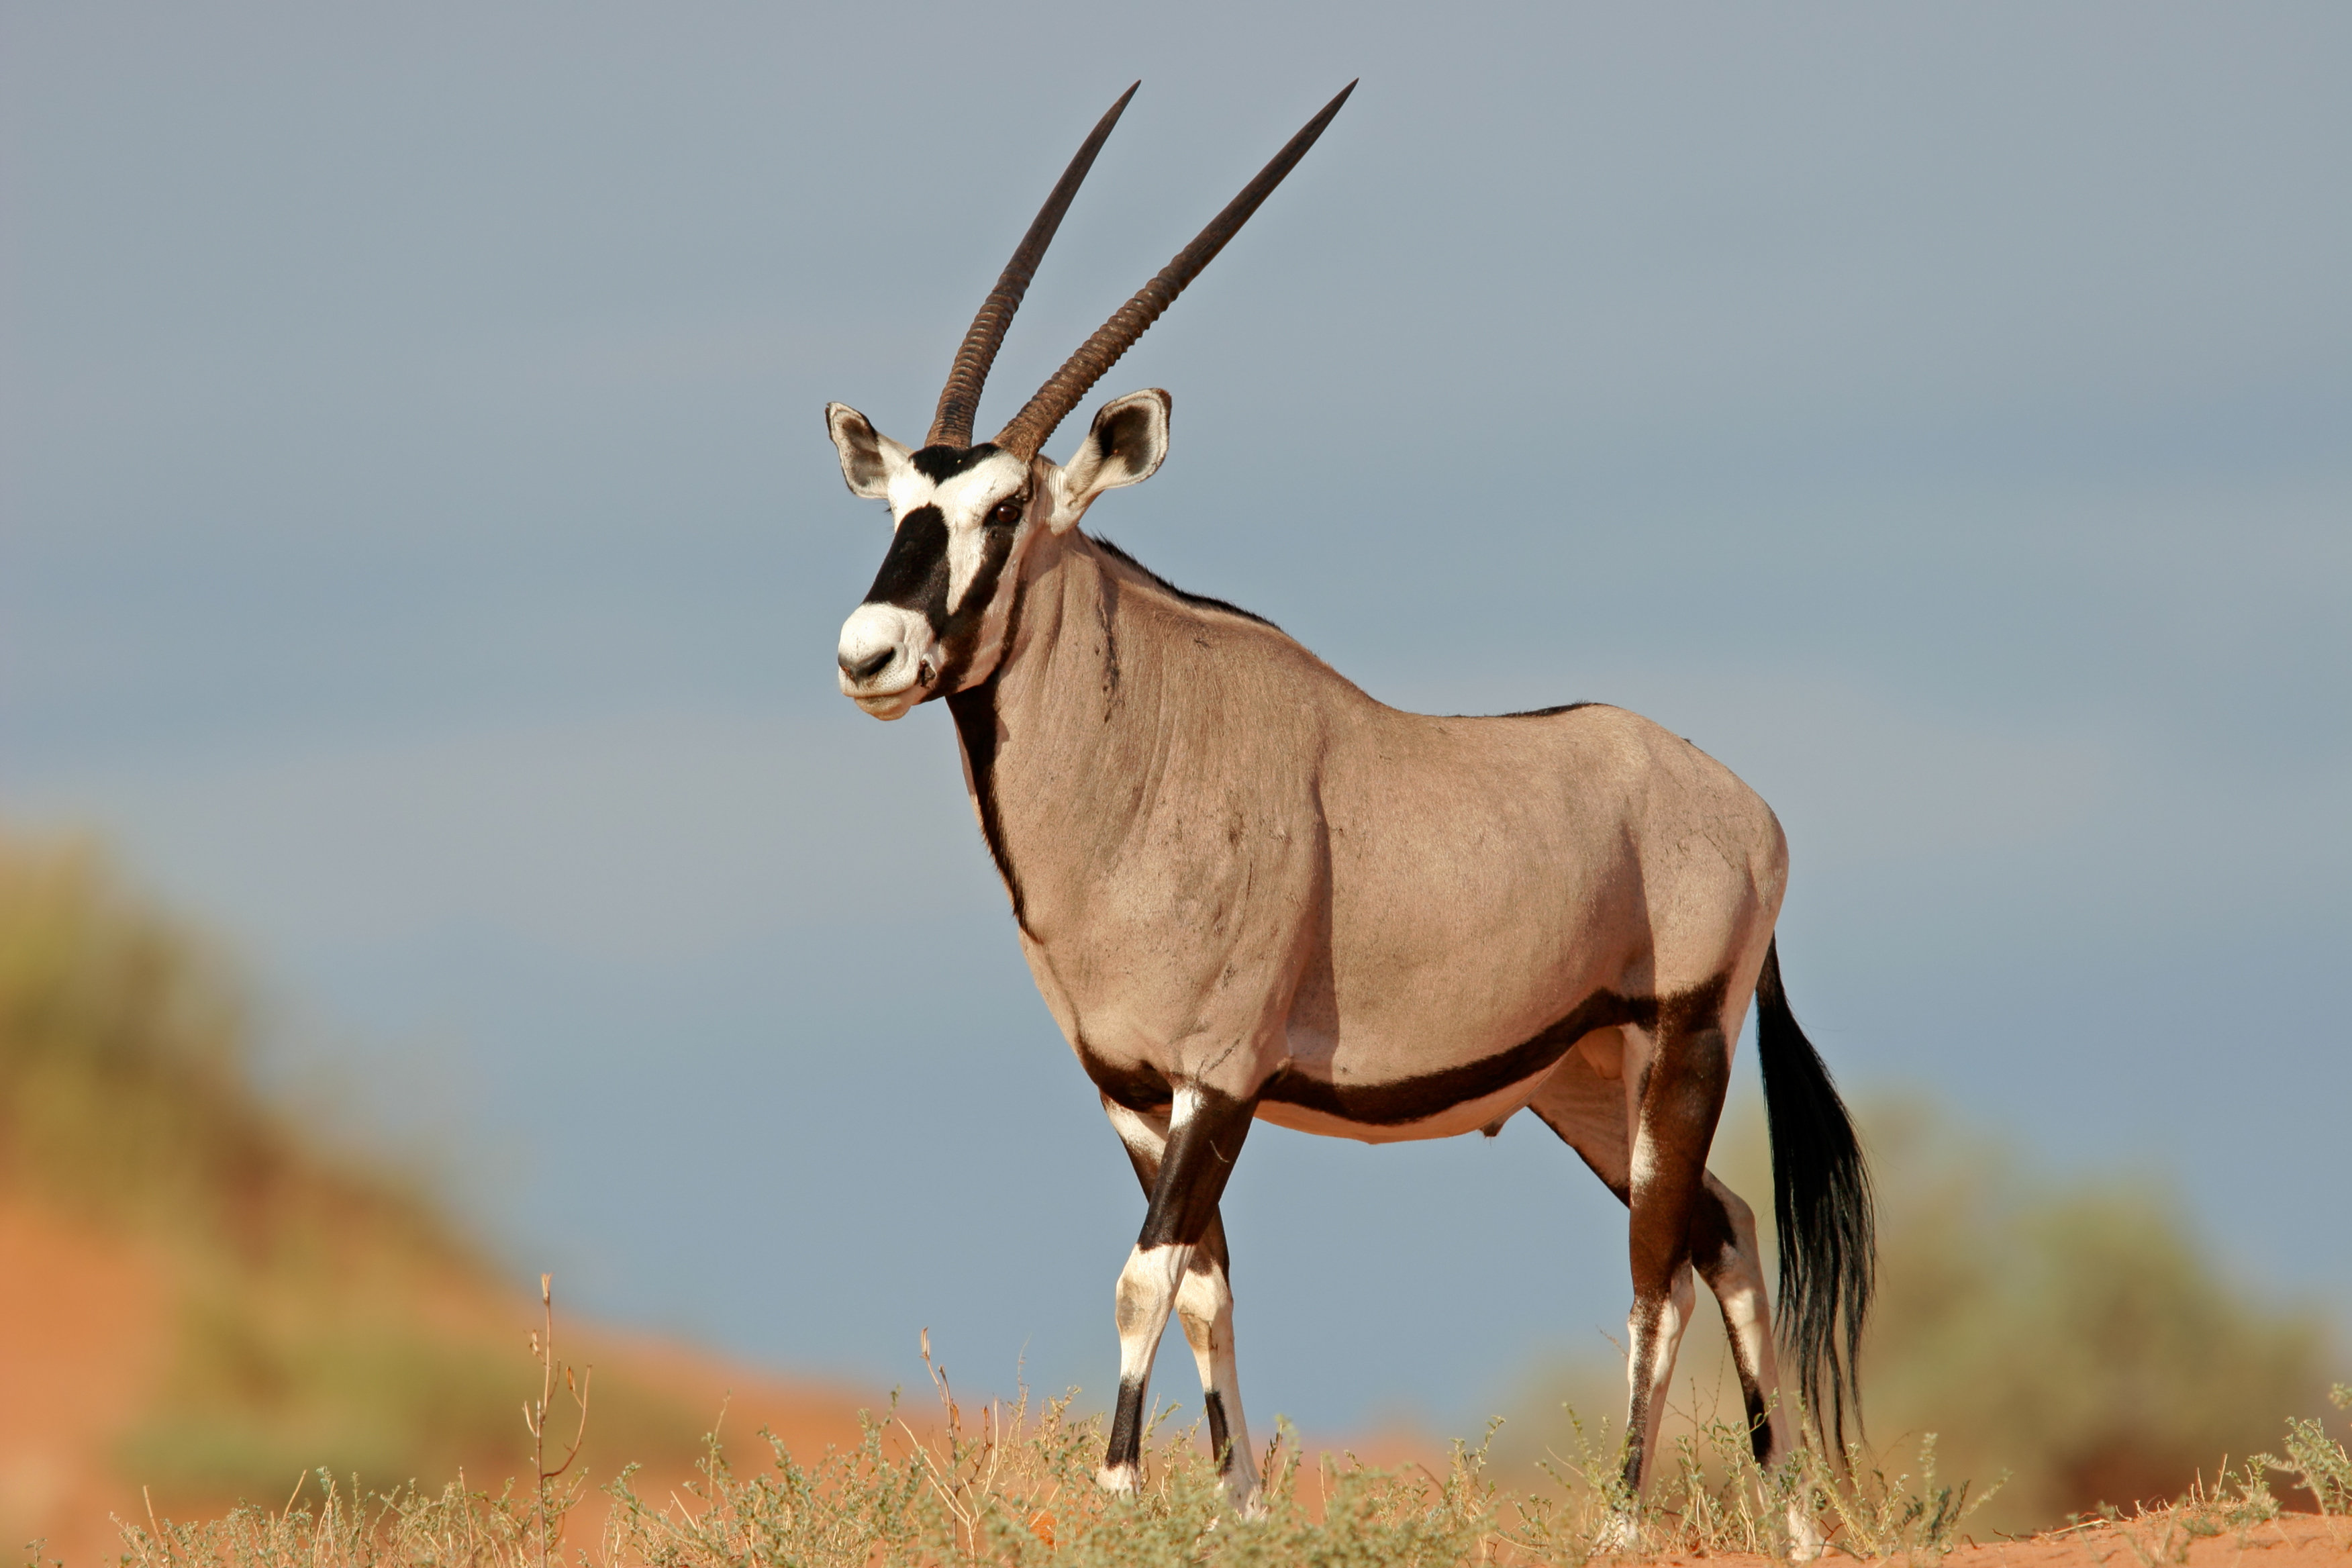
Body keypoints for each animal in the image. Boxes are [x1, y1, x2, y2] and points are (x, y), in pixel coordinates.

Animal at [823, 83, 1873, 1538]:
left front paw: (1119, 1489)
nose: (869, 654)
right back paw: (1790, 1521)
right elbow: (1202, 1283)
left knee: (1658, 1259)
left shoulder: (1222, 1073)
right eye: (896, 503)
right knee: (1722, 1230)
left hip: (1682, 1045)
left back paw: (1623, 1517)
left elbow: (1144, 1276)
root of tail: (1741, 803)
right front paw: (1237, 1507)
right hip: (1585, 1081)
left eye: (1007, 504)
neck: (1145, 751)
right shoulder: (1132, 1091)